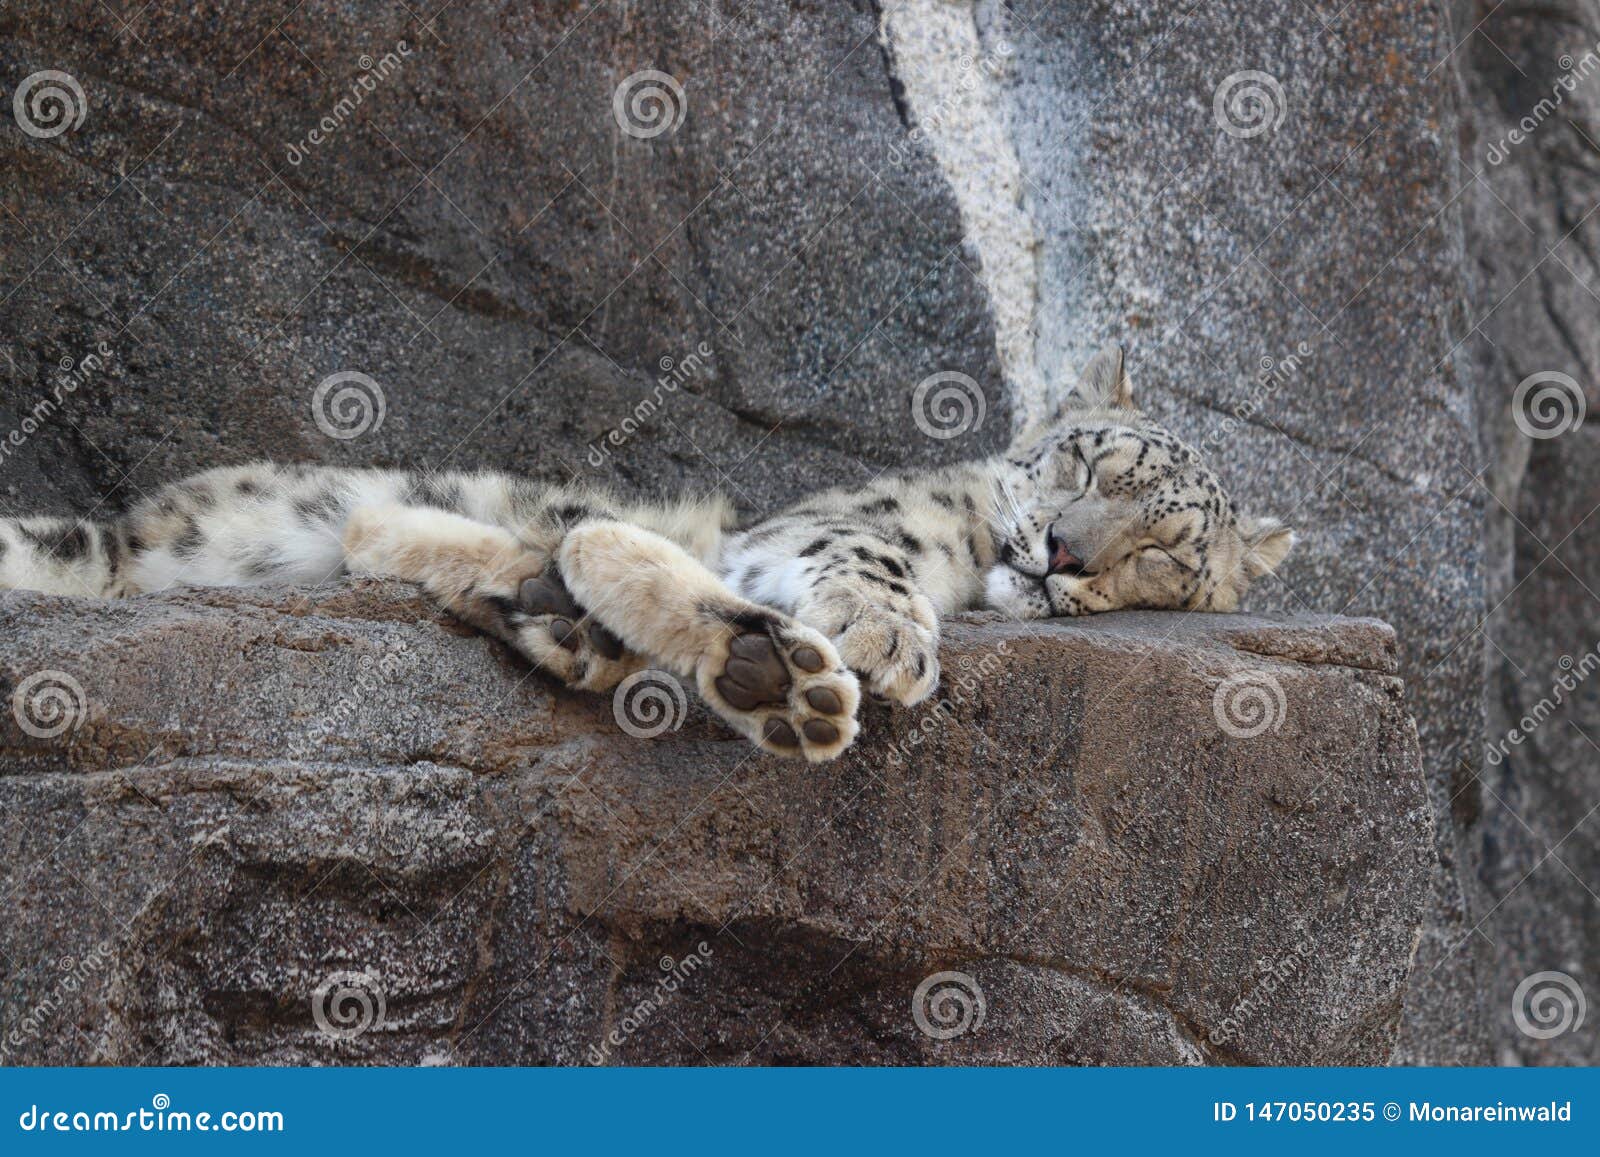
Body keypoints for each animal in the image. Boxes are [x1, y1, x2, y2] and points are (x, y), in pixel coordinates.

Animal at [0, 346, 1292, 763]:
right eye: (1089, 463)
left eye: (1163, 553)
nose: (1062, 552)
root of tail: (140, 540)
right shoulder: (831, 524)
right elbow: (861, 552)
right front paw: (885, 636)